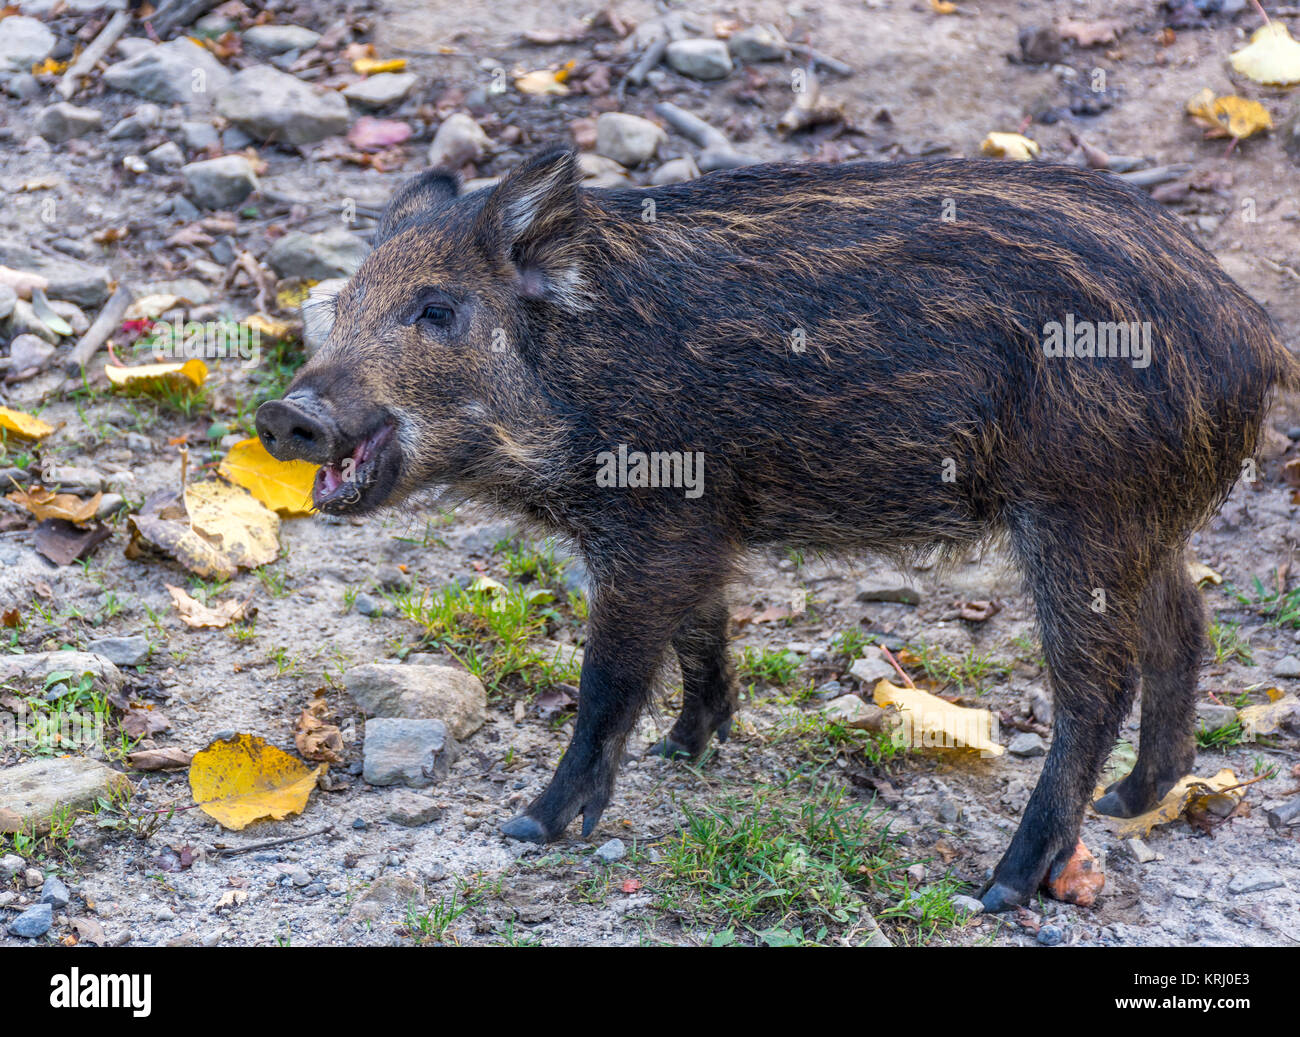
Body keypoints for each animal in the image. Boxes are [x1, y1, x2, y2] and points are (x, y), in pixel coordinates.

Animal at [256, 148, 1297, 911]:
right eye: (345, 303)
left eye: (438, 310)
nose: (286, 413)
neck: (573, 370)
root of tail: (1253, 334)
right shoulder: (695, 525)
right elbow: (702, 633)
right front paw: (688, 749)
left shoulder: (651, 522)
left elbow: (608, 681)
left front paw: (532, 827)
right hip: (1141, 521)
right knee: (1184, 627)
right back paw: (1134, 801)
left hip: (1081, 509)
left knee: (1097, 684)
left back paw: (1004, 885)